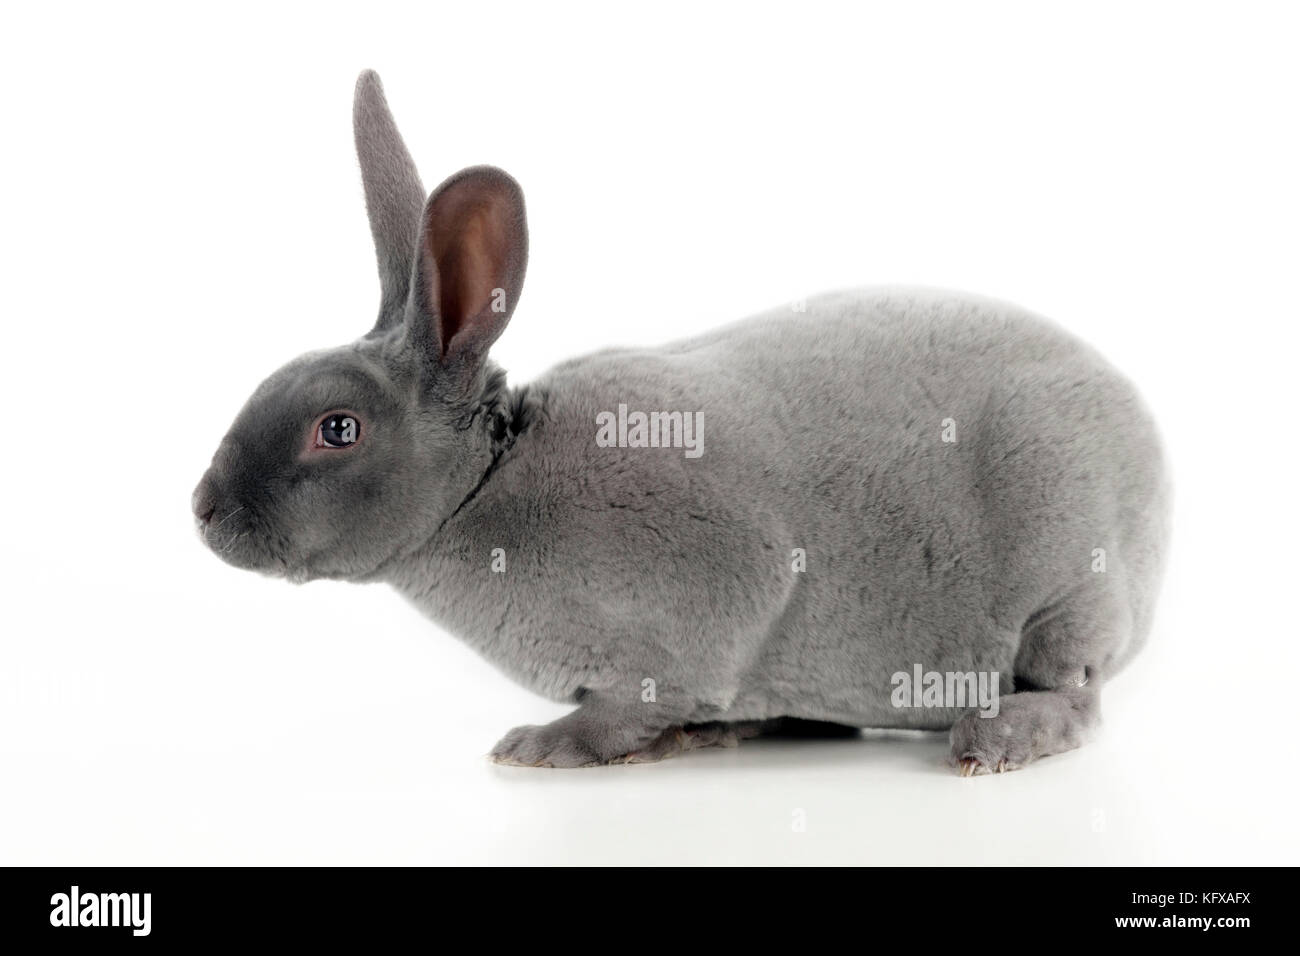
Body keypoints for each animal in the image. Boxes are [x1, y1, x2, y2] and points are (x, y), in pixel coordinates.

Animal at [193, 70, 1169, 774]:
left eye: (338, 429)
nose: (203, 512)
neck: (485, 487)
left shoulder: (722, 582)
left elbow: (637, 703)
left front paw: (548, 747)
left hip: (1069, 581)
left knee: (1077, 695)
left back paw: (993, 740)